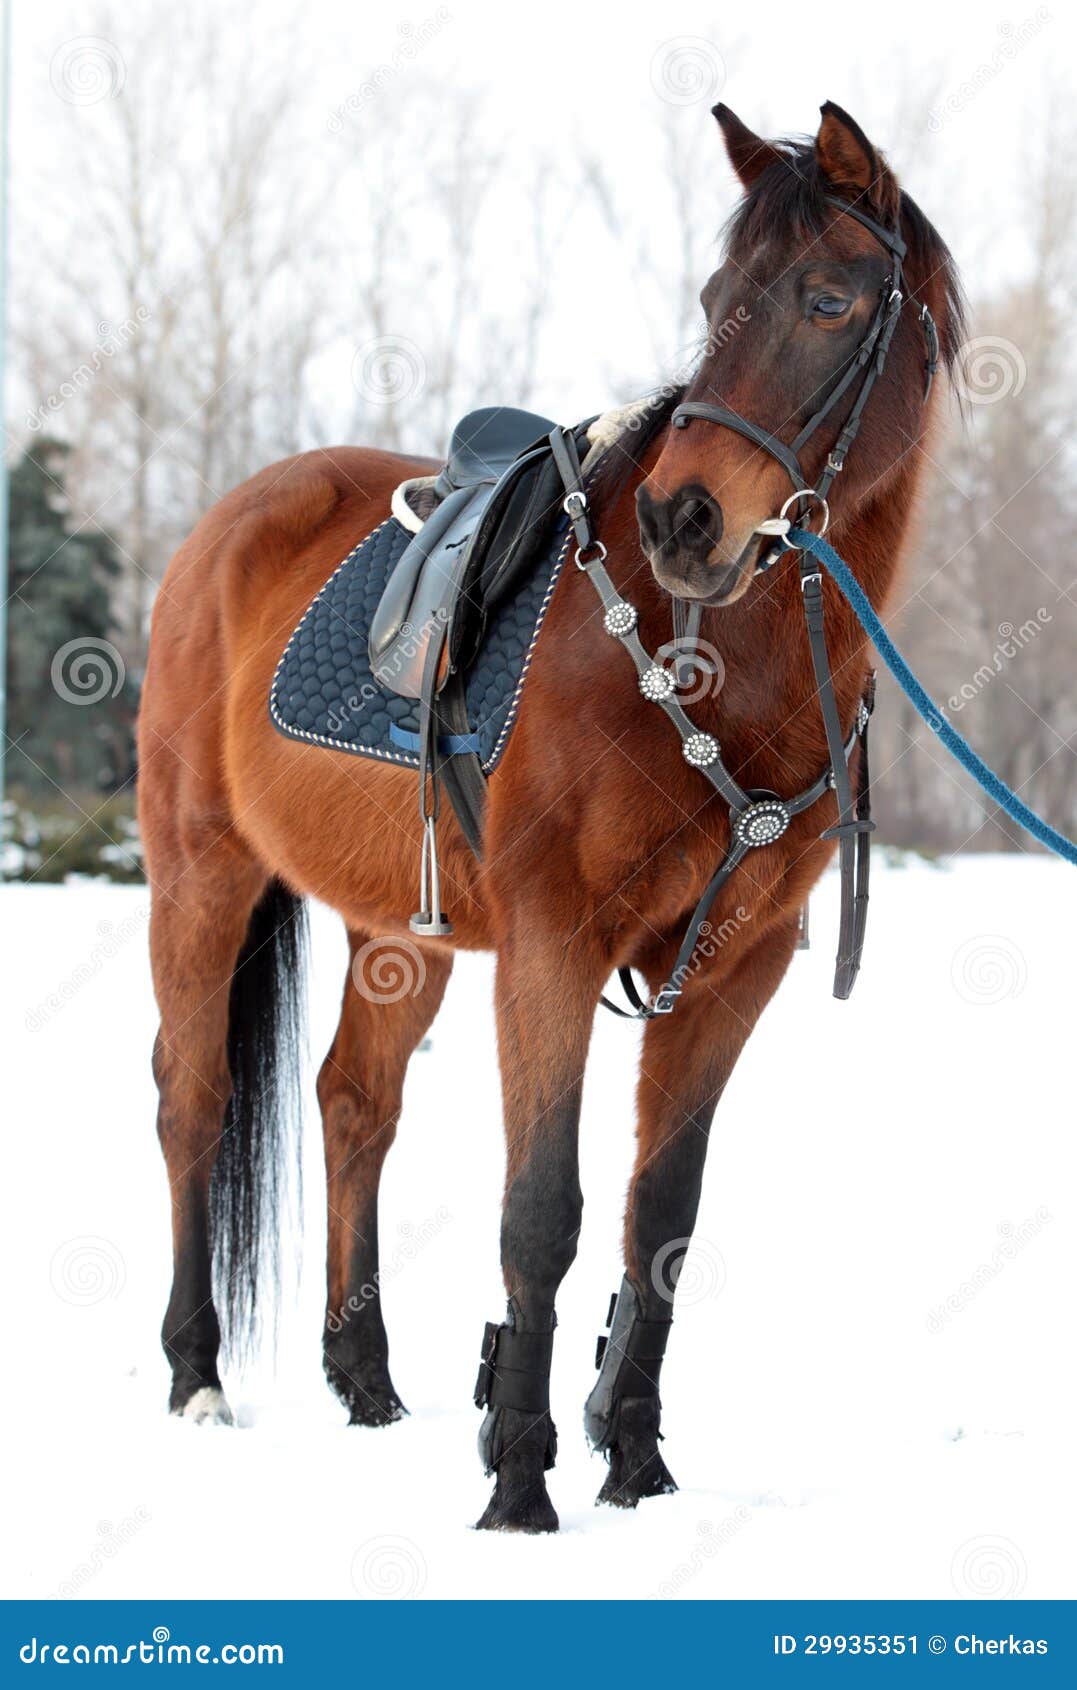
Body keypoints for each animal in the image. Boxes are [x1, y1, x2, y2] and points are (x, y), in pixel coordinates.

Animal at [137, 101, 965, 1532]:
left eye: (827, 297)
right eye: (716, 302)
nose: (685, 517)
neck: (705, 660)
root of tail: (220, 530)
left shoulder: (732, 969)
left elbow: (659, 1215)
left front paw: (633, 1458)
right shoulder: (551, 945)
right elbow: (543, 1211)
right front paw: (520, 1479)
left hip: (394, 930)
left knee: (353, 1104)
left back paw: (368, 1380)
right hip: (200, 874)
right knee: (194, 1099)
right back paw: (197, 1375)